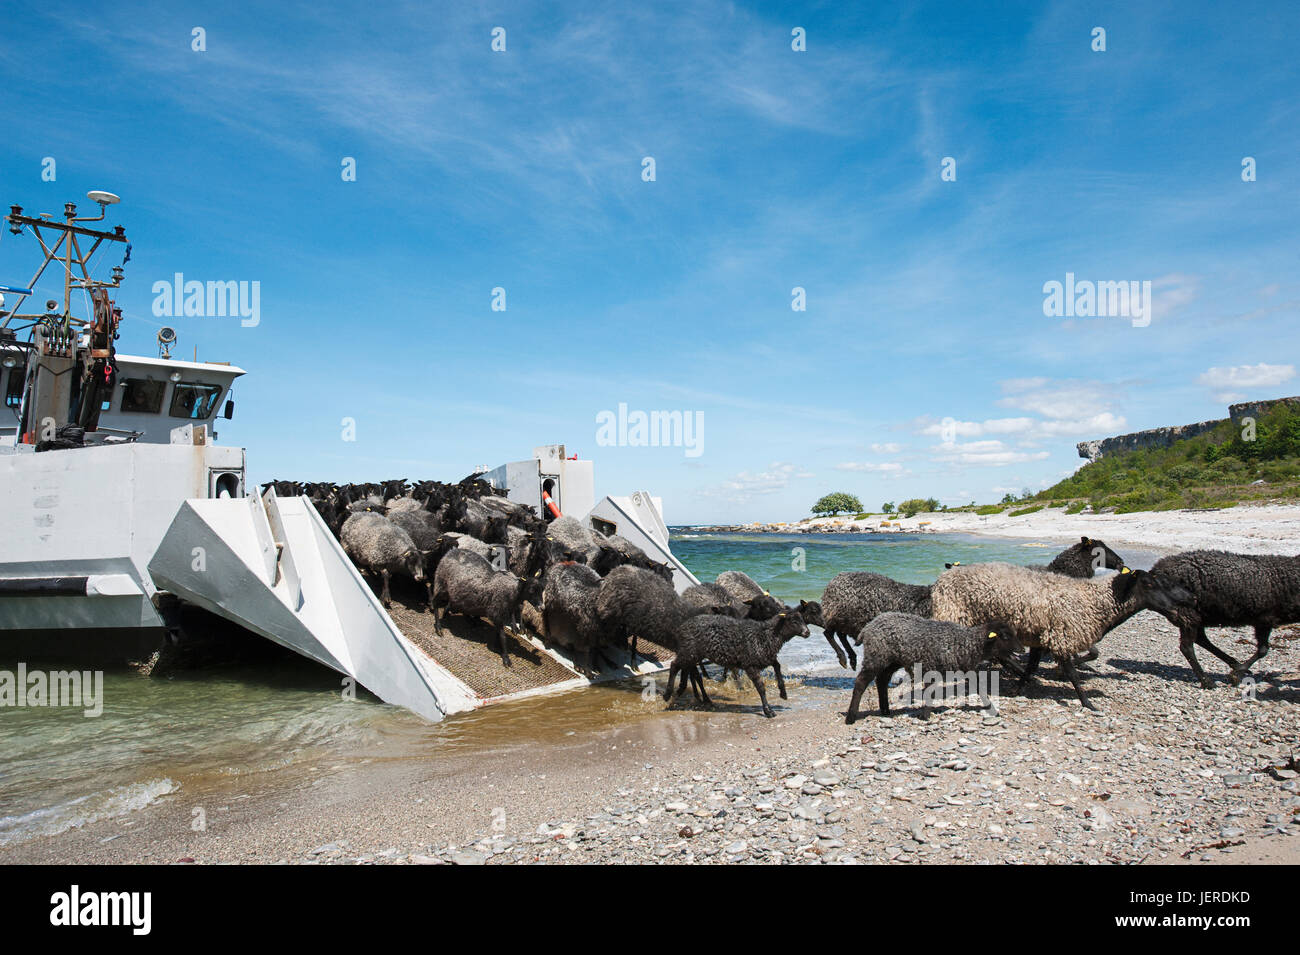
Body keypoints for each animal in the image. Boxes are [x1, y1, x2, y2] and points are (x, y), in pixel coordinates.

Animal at [666, 611, 811, 718]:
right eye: (794, 621)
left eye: (803, 619)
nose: (807, 632)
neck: (765, 635)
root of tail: (681, 628)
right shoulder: (750, 664)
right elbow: (761, 687)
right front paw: (768, 711)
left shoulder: (766, 658)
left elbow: (778, 666)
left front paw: (783, 693)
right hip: (689, 651)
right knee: (674, 665)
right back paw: (667, 694)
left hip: (691, 653)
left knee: (686, 670)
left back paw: (682, 692)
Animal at [844, 613, 1022, 722]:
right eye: (1005, 636)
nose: (1020, 649)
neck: (966, 643)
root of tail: (867, 627)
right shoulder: (931, 667)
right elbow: (929, 692)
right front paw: (925, 716)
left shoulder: (966, 668)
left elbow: (979, 687)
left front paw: (991, 708)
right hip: (876, 656)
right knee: (861, 682)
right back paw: (851, 717)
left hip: (892, 660)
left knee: (882, 680)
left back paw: (885, 711)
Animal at [929, 563, 1192, 709]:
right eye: (1148, 584)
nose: (1177, 605)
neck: (1095, 601)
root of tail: (941, 581)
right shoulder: (1063, 635)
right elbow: (1073, 674)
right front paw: (1088, 703)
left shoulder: (1042, 636)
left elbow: (1033, 666)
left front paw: (1020, 686)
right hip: (956, 615)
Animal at [1145, 550, 1300, 688]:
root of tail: (1155, 569)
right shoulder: (1265, 619)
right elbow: (1263, 650)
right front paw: (1236, 676)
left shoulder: (1265, 621)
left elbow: (1263, 649)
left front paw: (1238, 672)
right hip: (1186, 613)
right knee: (1187, 647)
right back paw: (1207, 681)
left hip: (1196, 615)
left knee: (1201, 639)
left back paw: (1233, 664)